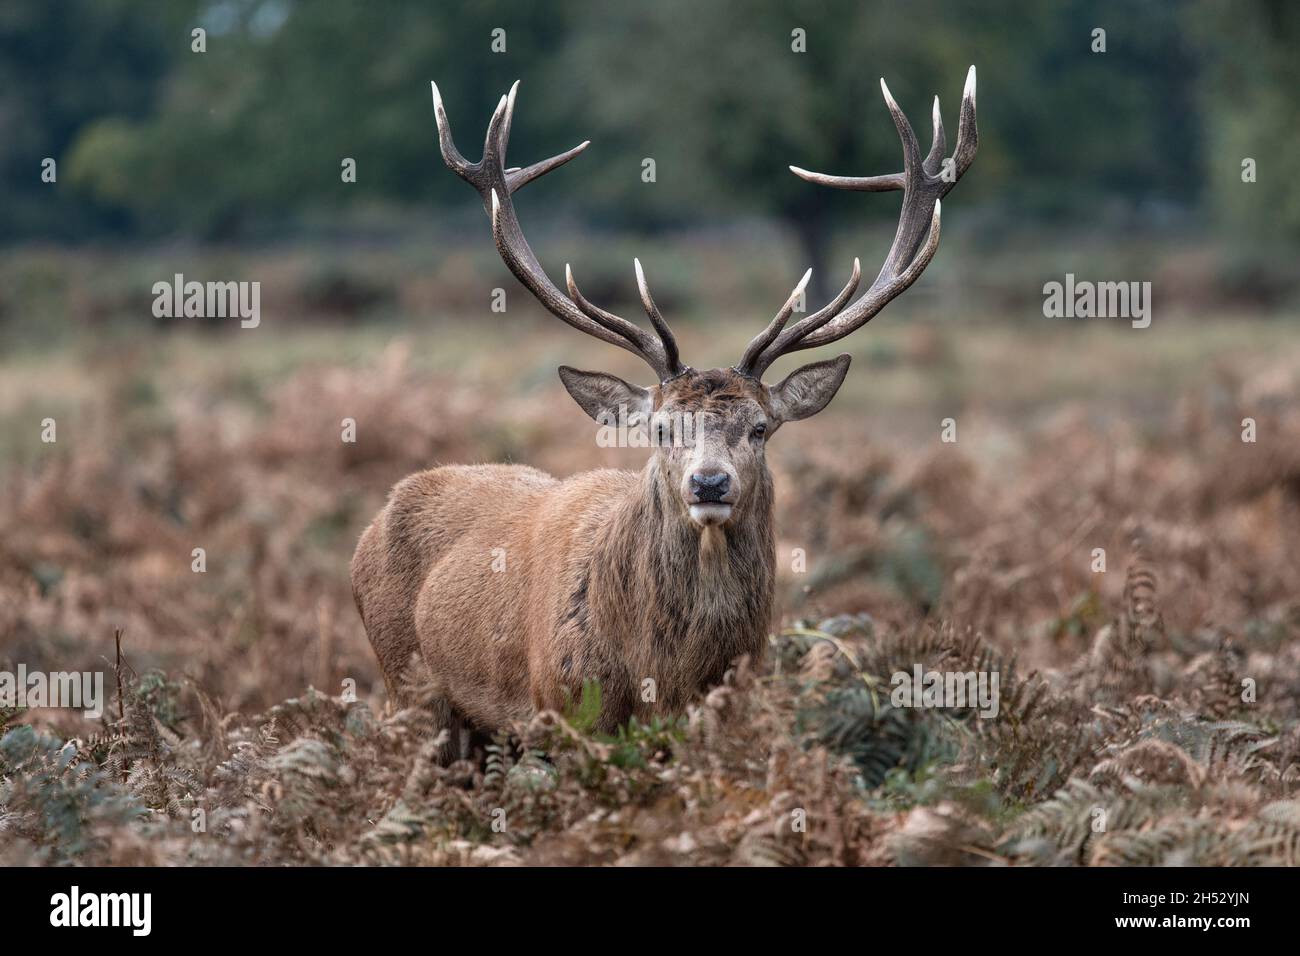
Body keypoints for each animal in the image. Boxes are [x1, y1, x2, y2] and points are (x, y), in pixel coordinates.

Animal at [350, 68, 978, 761]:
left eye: (760, 428)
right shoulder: (565, 716)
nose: (709, 483)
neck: (663, 679)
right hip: (409, 686)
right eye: (659, 428)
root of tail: (374, 522)